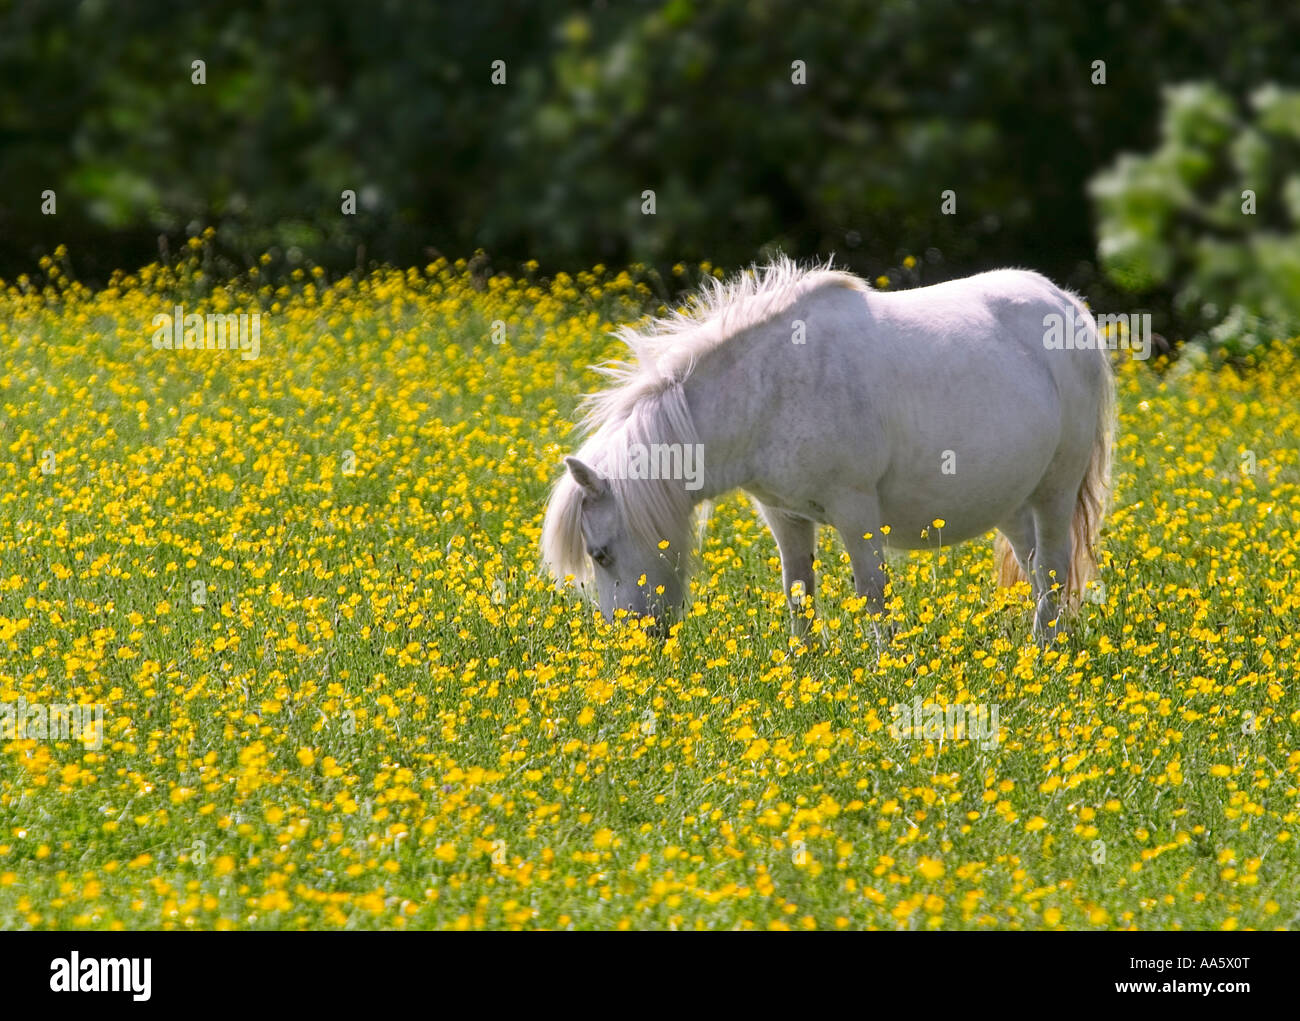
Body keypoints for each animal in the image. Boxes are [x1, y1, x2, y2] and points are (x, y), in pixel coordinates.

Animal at [541, 257, 1114, 644]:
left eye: (599, 553)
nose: (633, 645)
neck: (768, 390)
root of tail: (1066, 304)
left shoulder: (856, 509)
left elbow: (874, 593)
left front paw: (886, 669)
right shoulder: (784, 515)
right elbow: (798, 590)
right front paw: (804, 665)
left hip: (1055, 491)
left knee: (1053, 568)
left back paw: (1043, 653)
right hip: (1014, 503)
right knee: (1036, 569)